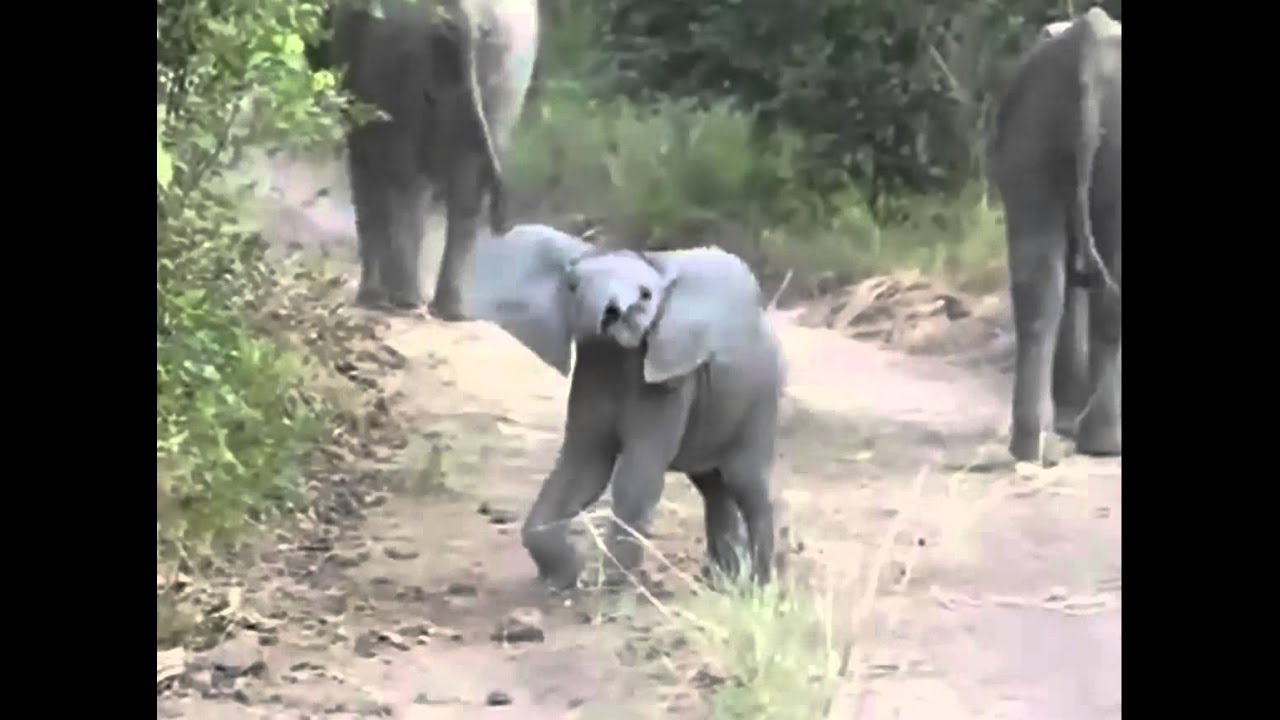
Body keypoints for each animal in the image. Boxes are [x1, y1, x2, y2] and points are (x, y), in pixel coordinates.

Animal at [330, 0, 539, 315]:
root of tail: (468, 11)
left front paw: (369, 299)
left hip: (400, 57)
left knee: (406, 179)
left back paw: (405, 300)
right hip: (507, 71)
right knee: (464, 189)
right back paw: (448, 311)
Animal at [464, 224, 784, 590]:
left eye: (645, 295)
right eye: (573, 286)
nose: (611, 315)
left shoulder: (670, 382)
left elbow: (636, 475)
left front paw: (613, 585)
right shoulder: (593, 368)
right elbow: (583, 468)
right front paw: (564, 578)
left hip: (762, 399)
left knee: (745, 482)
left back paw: (758, 585)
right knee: (712, 487)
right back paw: (719, 583)